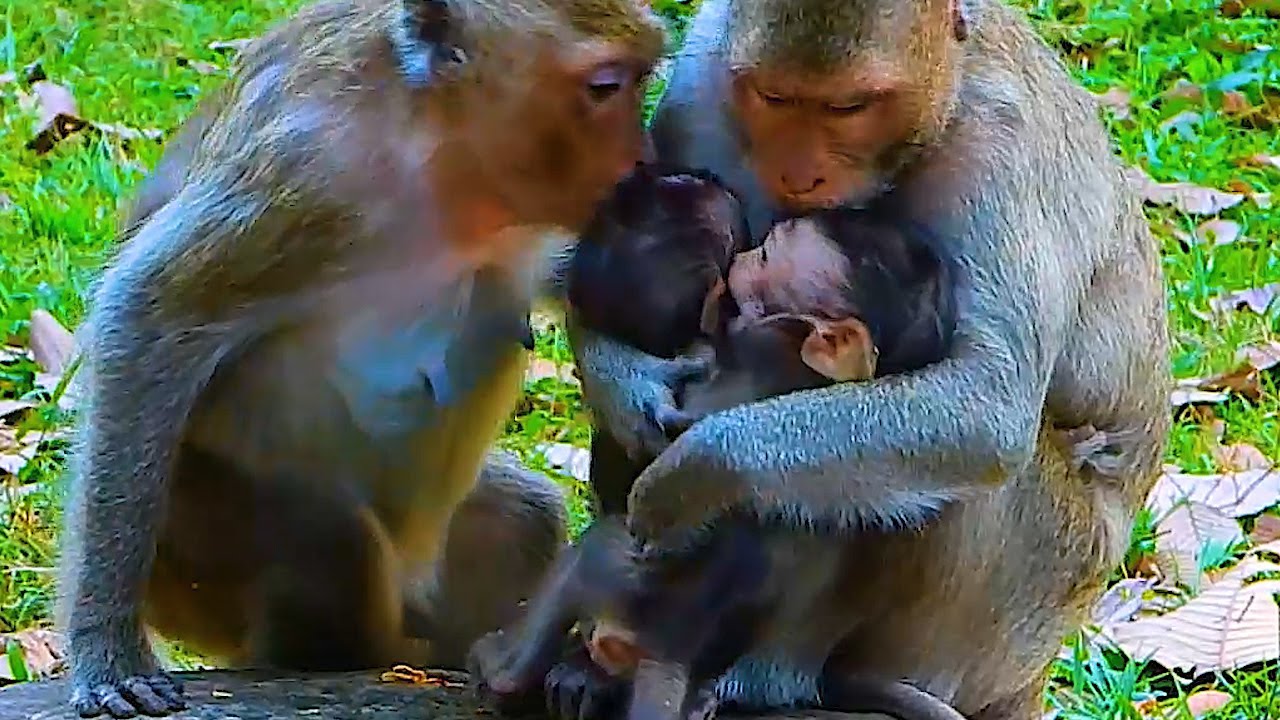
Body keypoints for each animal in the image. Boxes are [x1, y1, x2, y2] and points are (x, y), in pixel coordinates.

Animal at [58, 0, 665, 716]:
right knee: (329, 537)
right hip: (195, 539)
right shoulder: (300, 174)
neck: (436, 151)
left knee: (524, 513)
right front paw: (106, 649)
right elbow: (147, 320)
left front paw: (636, 386)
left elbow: (582, 277)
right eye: (605, 87)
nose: (642, 159)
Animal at [563, 0, 1172, 716]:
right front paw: (630, 389)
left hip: (1019, 607)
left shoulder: (999, 150)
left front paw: (695, 470)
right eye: (775, 96)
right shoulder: (702, 82)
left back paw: (775, 676)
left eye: (850, 106)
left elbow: (985, 409)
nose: (800, 173)